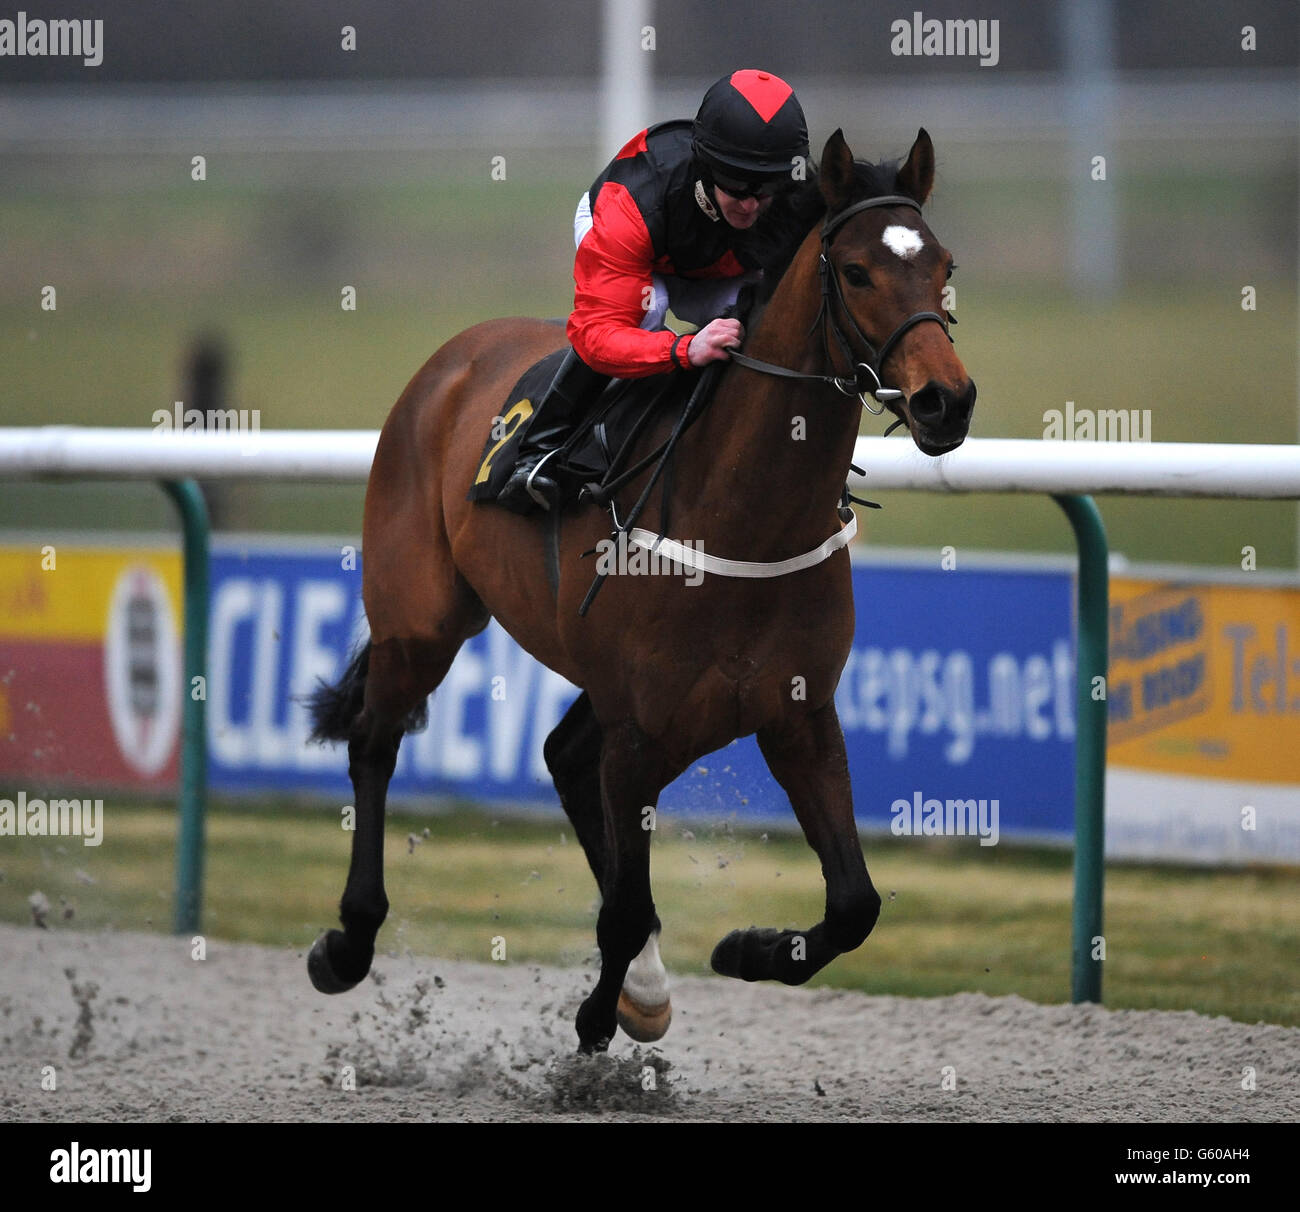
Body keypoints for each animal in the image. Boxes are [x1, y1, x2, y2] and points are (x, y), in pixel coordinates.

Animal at [306, 128, 976, 1052]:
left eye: (943, 264)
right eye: (856, 272)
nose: (946, 401)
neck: (741, 518)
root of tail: (453, 358)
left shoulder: (797, 716)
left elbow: (855, 903)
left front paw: (745, 950)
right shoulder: (640, 734)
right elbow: (621, 909)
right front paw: (595, 1018)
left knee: (561, 756)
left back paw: (649, 987)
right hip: (422, 620)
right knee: (375, 742)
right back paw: (350, 939)